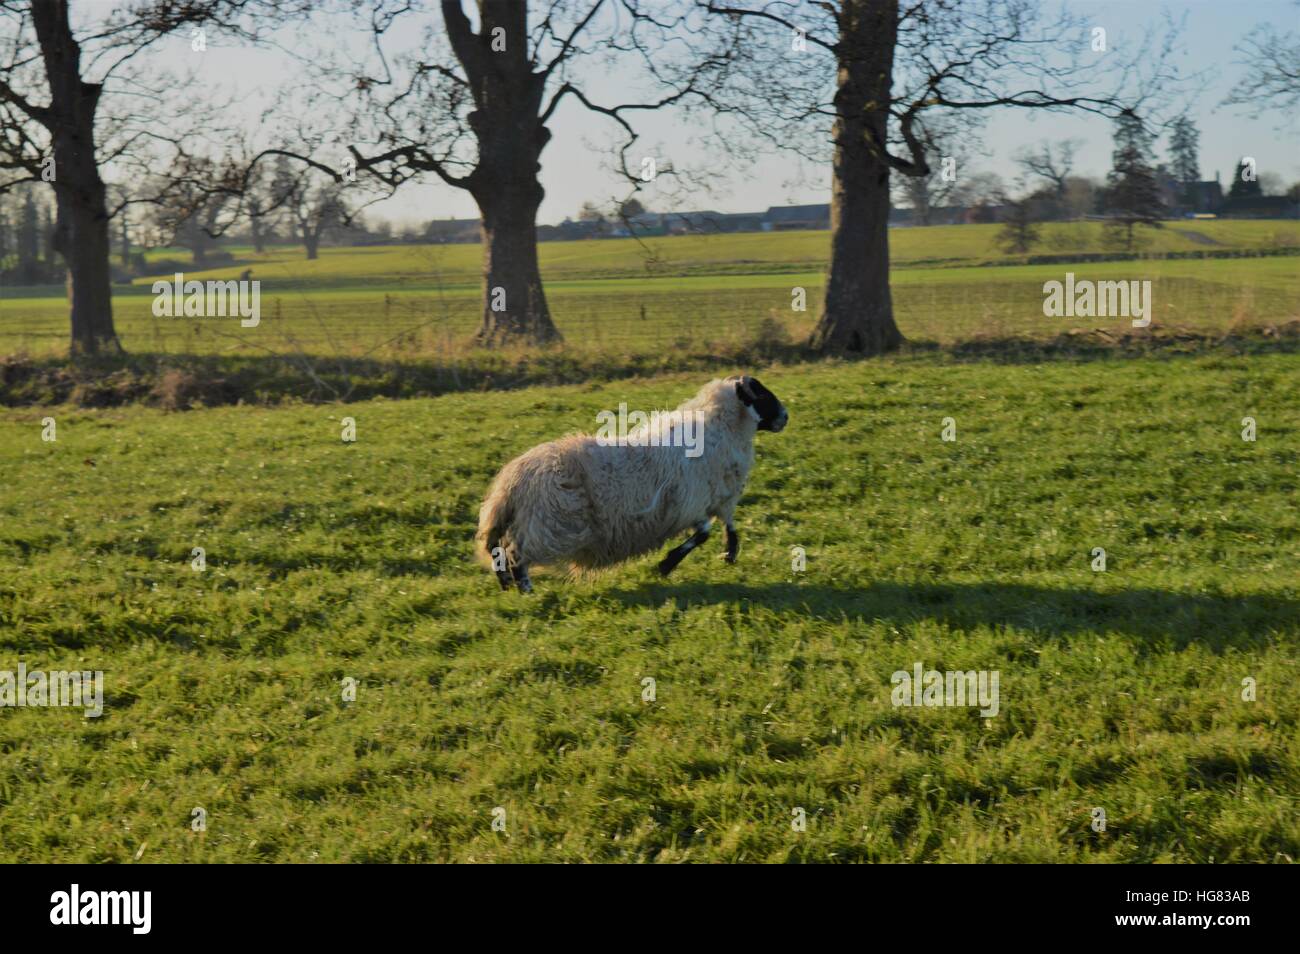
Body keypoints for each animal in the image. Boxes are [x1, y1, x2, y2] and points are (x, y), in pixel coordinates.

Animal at [475, 375, 789, 592]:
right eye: (761, 393)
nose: (785, 417)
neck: (720, 429)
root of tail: (513, 479)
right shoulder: (693, 502)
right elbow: (703, 534)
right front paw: (667, 564)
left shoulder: (715, 498)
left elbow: (728, 526)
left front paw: (730, 553)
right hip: (548, 527)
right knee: (514, 553)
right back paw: (525, 589)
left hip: (529, 521)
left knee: (499, 549)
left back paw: (506, 584)